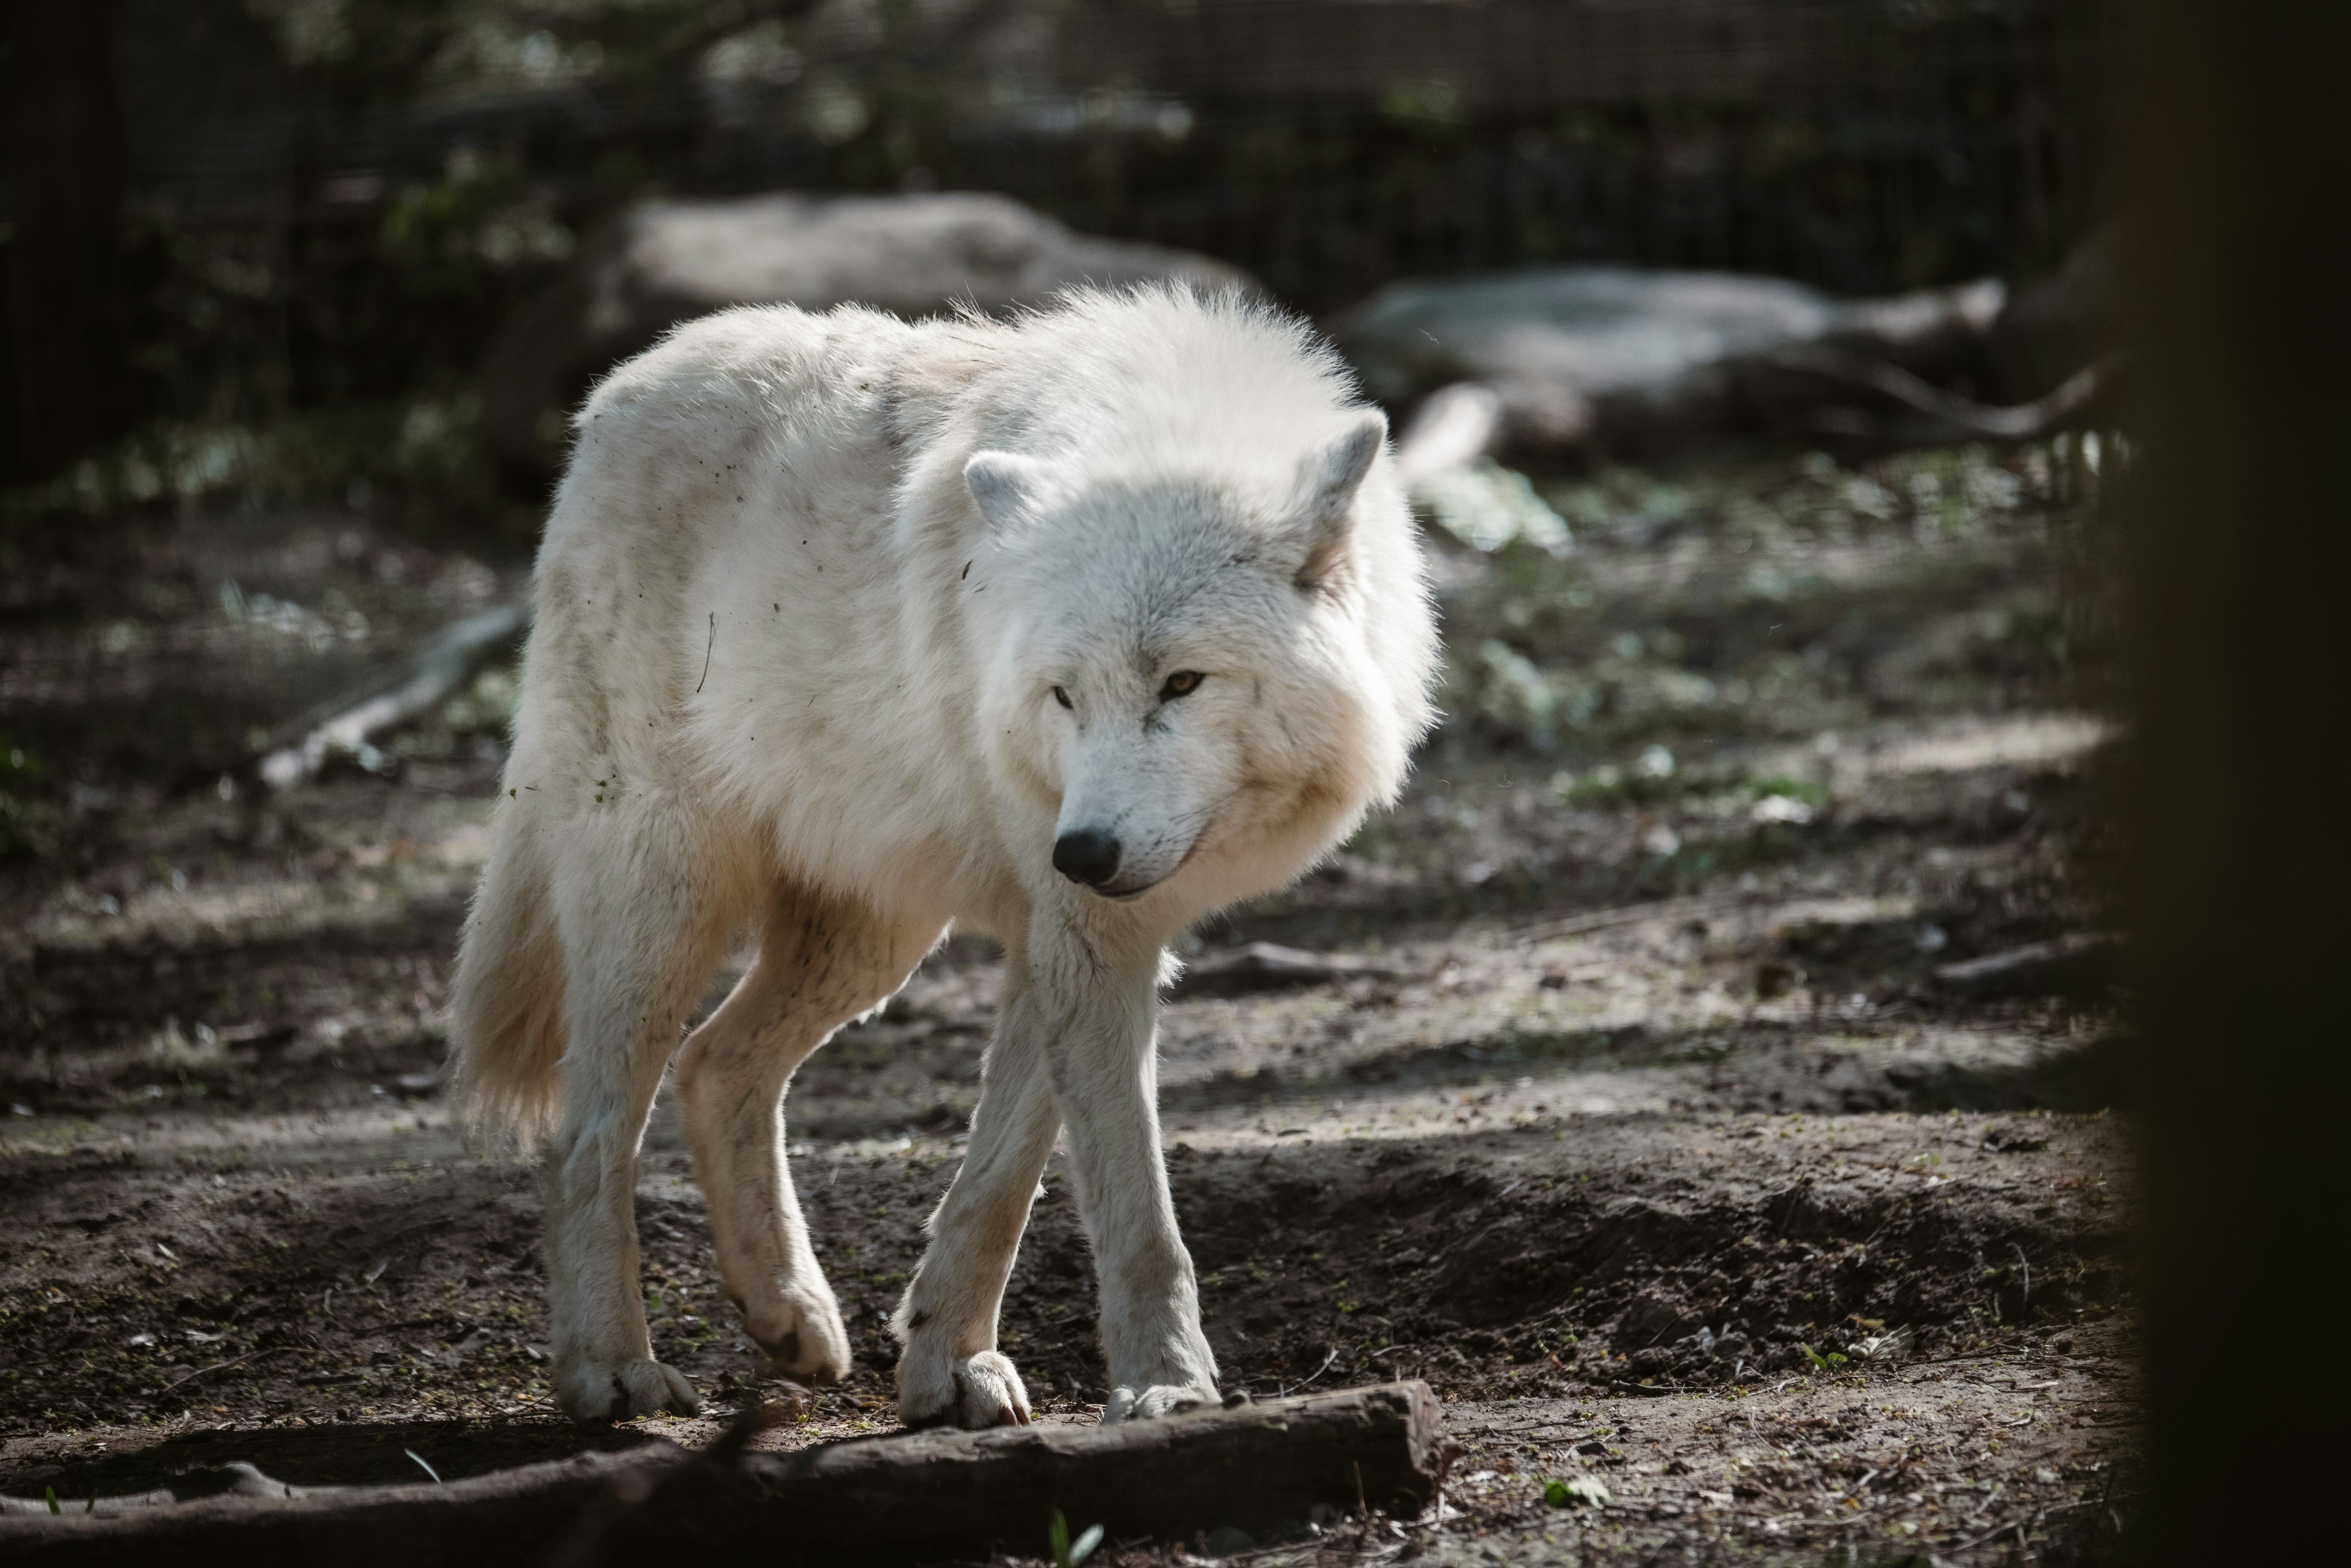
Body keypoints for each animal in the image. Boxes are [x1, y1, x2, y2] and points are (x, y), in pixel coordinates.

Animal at [447, 286, 1438, 1426]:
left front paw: (948, 1364)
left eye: (1182, 683)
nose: (1082, 848)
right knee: (588, 1129)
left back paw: (789, 1317)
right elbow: (1135, 1208)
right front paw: (1166, 1382)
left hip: (874, 931)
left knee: (717, 1065)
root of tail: (612, 396)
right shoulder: (1083, 930)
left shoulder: (1082, 932)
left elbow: (1003, 1180)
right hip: (669, 892)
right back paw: (610, 1368)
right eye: (1064, 695)